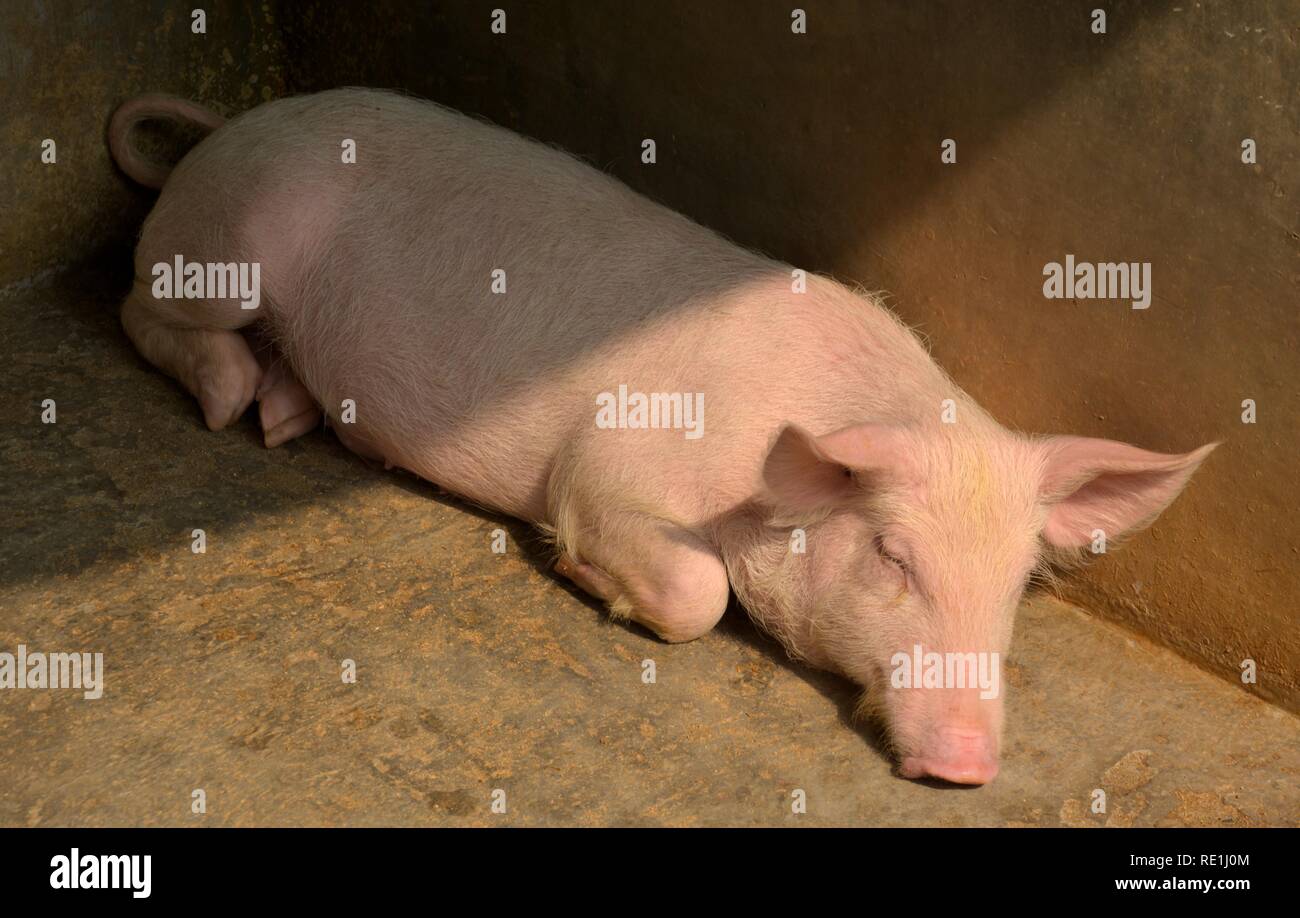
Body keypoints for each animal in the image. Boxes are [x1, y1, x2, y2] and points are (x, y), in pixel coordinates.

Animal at [108, 89, 1216, 785]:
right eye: (893, 556)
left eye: (1018, 583)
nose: (970, 766)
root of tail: (235, 125)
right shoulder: (608, 462)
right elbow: (695, 588)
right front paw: (585, 578)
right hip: (226, 250)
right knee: (139, 307)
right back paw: (235, 403)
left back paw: (287, 416)